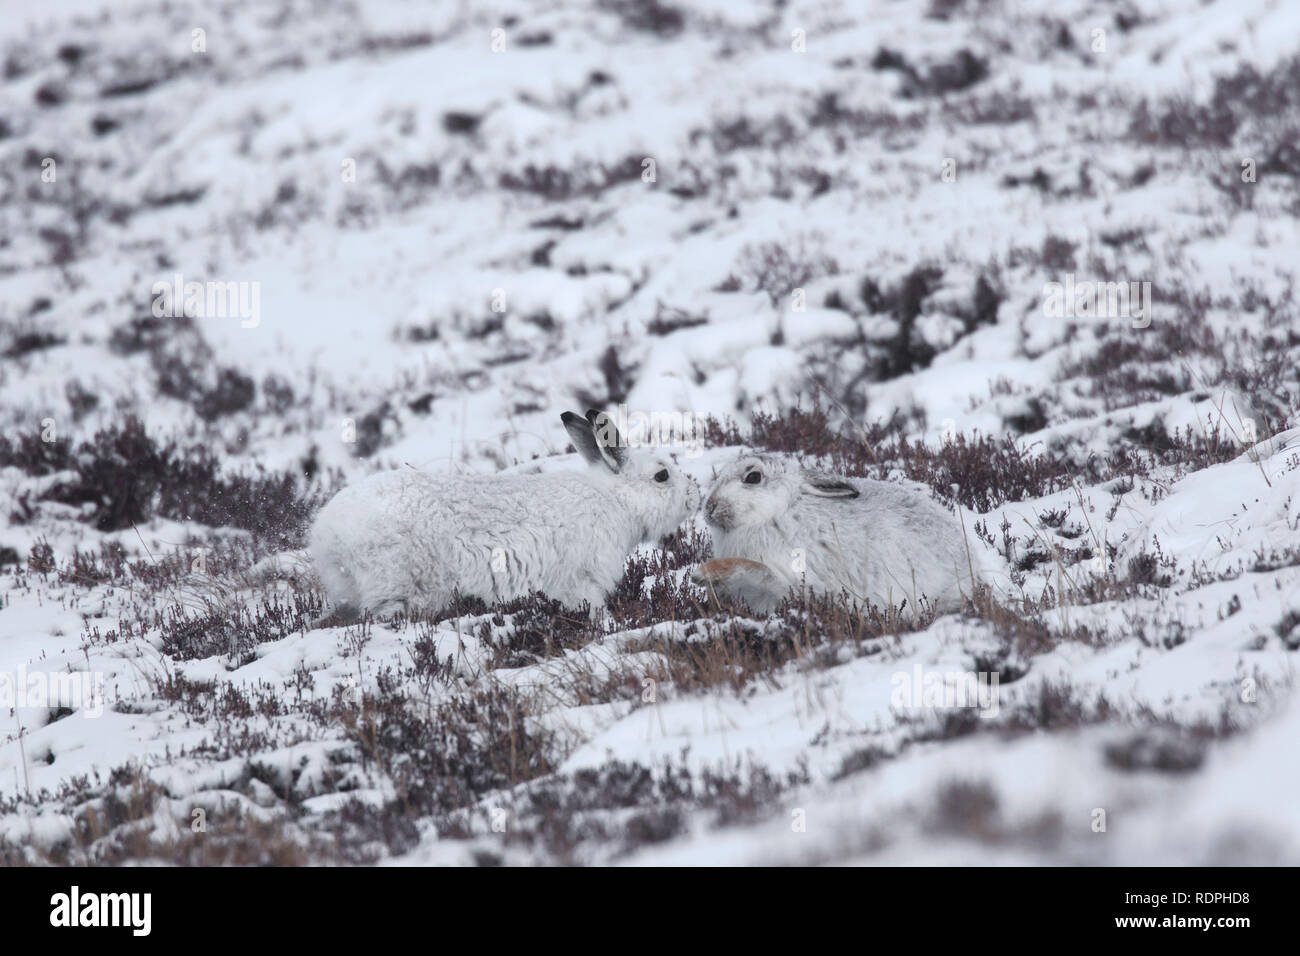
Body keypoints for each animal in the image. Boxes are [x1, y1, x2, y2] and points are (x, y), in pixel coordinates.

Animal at [309, 409, 699, 619]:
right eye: (662, 475)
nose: (694, 495)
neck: (615, 499)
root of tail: (329, 538)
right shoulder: (579, 581)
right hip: (404, 586)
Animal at [699, 453, 983, 615]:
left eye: (753, 476)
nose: (709, 508)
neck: (780, 512)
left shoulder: (796, 579)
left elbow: (756, 569)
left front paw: (703, 573)